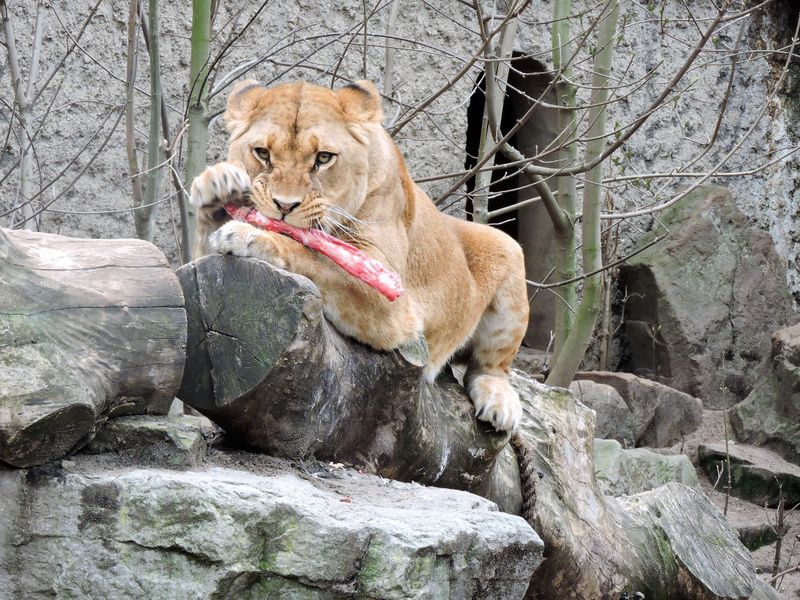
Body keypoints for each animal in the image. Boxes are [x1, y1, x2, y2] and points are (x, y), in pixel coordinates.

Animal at [191, 79, 529, 431]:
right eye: (262, 153)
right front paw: (218, 183)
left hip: (506, 247)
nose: (284, 205)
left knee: (492, 366)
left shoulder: (392, 299)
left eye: (323, 158)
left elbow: (316, 256)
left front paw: (251, 236)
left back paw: (498, 403)